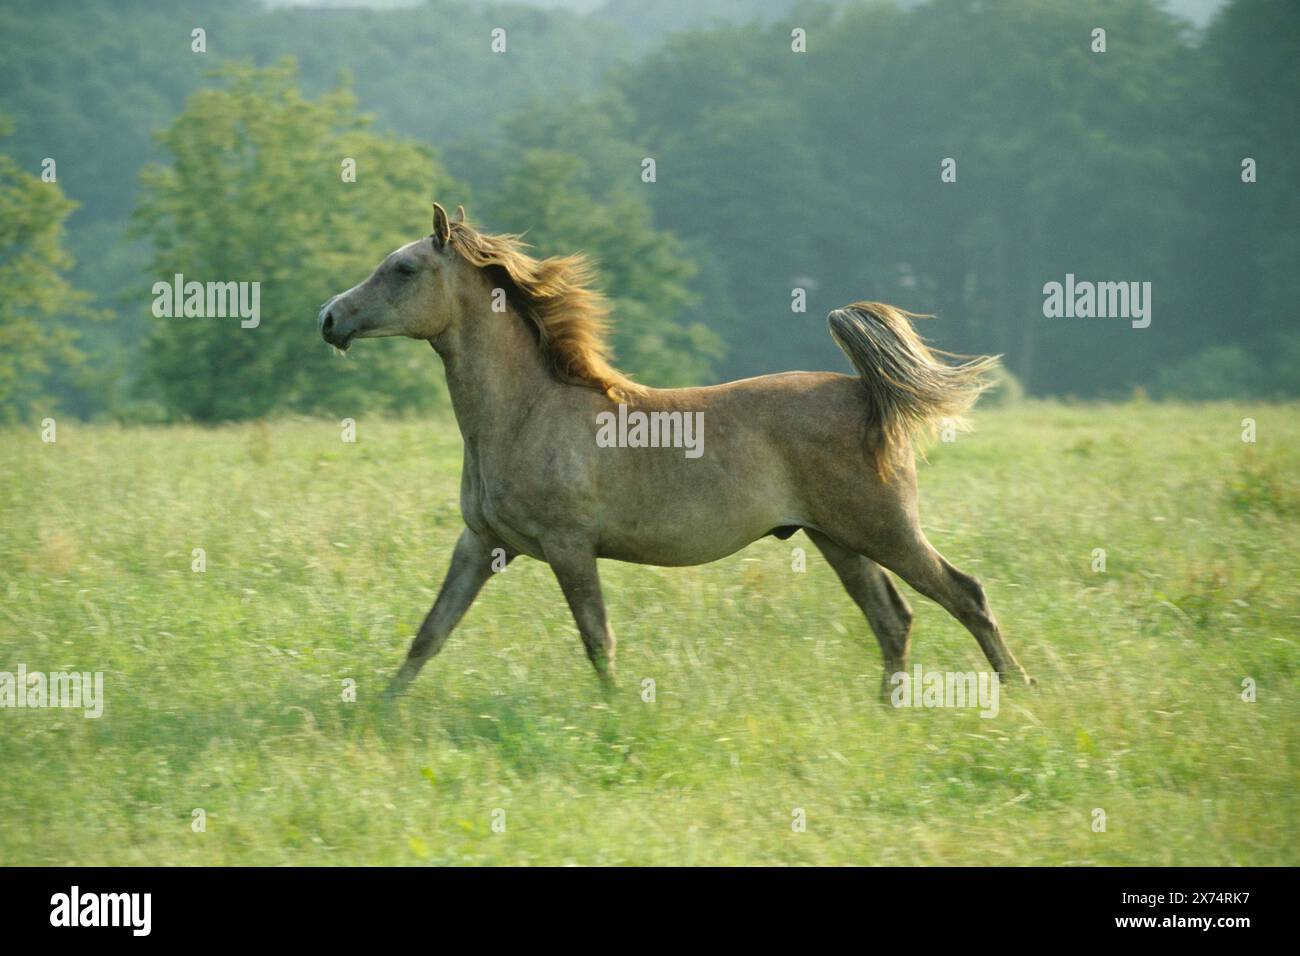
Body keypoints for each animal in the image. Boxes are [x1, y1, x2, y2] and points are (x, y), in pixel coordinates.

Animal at [318, 203, 1034, 699]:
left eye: (404, 268)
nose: (329, 319)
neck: (526, 413)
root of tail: (867, 392)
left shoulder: (567, 546)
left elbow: (597, 639)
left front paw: (614, 713)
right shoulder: (481, 543)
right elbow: (429, 633)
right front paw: (379, 710)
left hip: (885, 531)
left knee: (964, 594)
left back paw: (1021, 690)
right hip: (838, 540)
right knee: (894, 619)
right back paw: (889, 709)